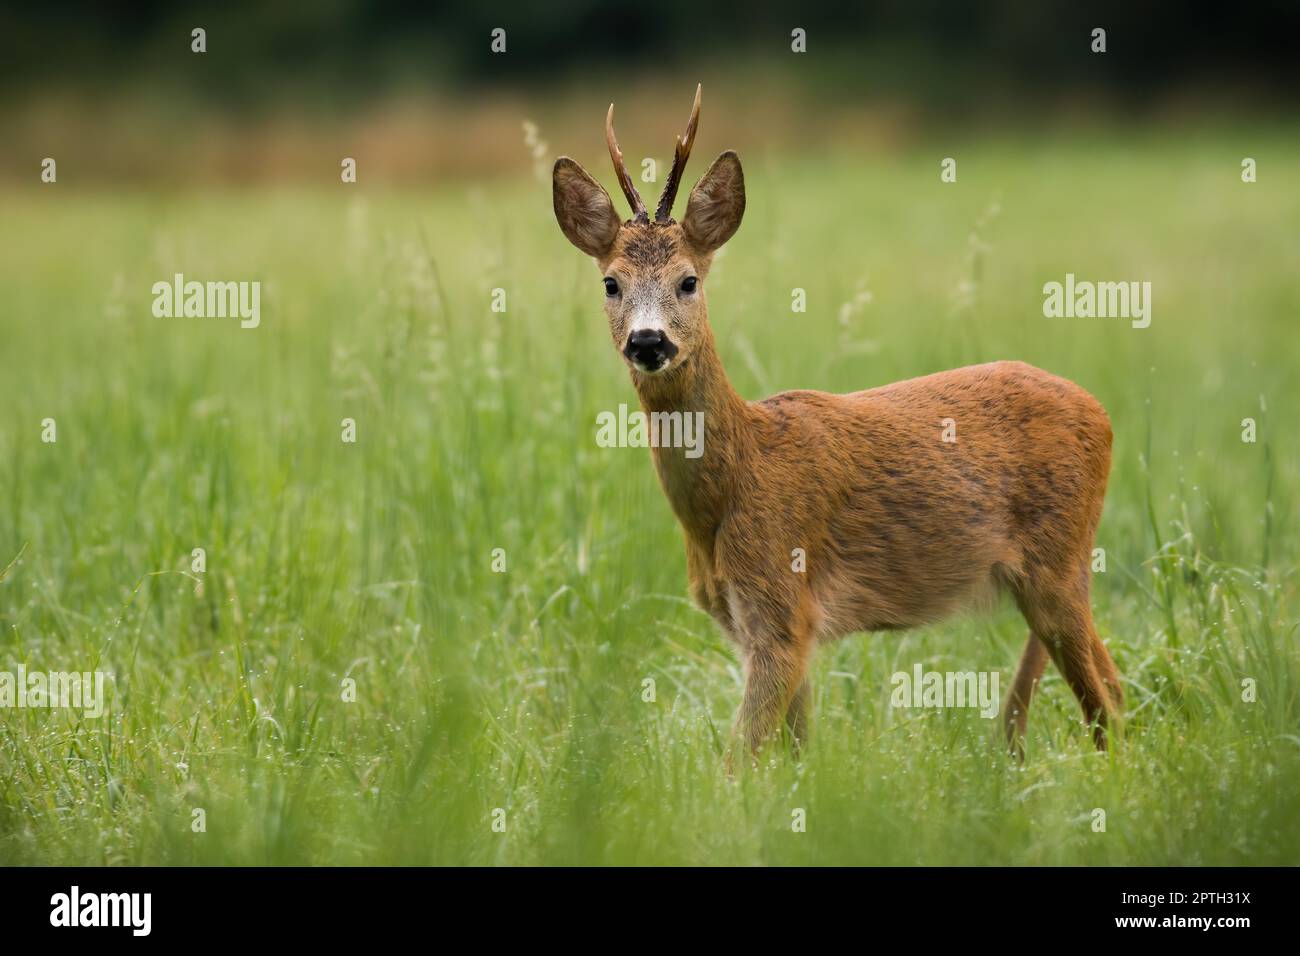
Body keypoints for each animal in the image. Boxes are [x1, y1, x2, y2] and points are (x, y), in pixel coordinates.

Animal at [551, 85, 1122, 762]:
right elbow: (796, 752)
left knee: (1106, 701)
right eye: (611, 283)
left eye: (688, 280)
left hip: (1058, 558)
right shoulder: (765, 626)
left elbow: (738, 759)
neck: (733, 486)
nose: (647, 341)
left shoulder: (782, 607)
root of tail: (1101, 413)